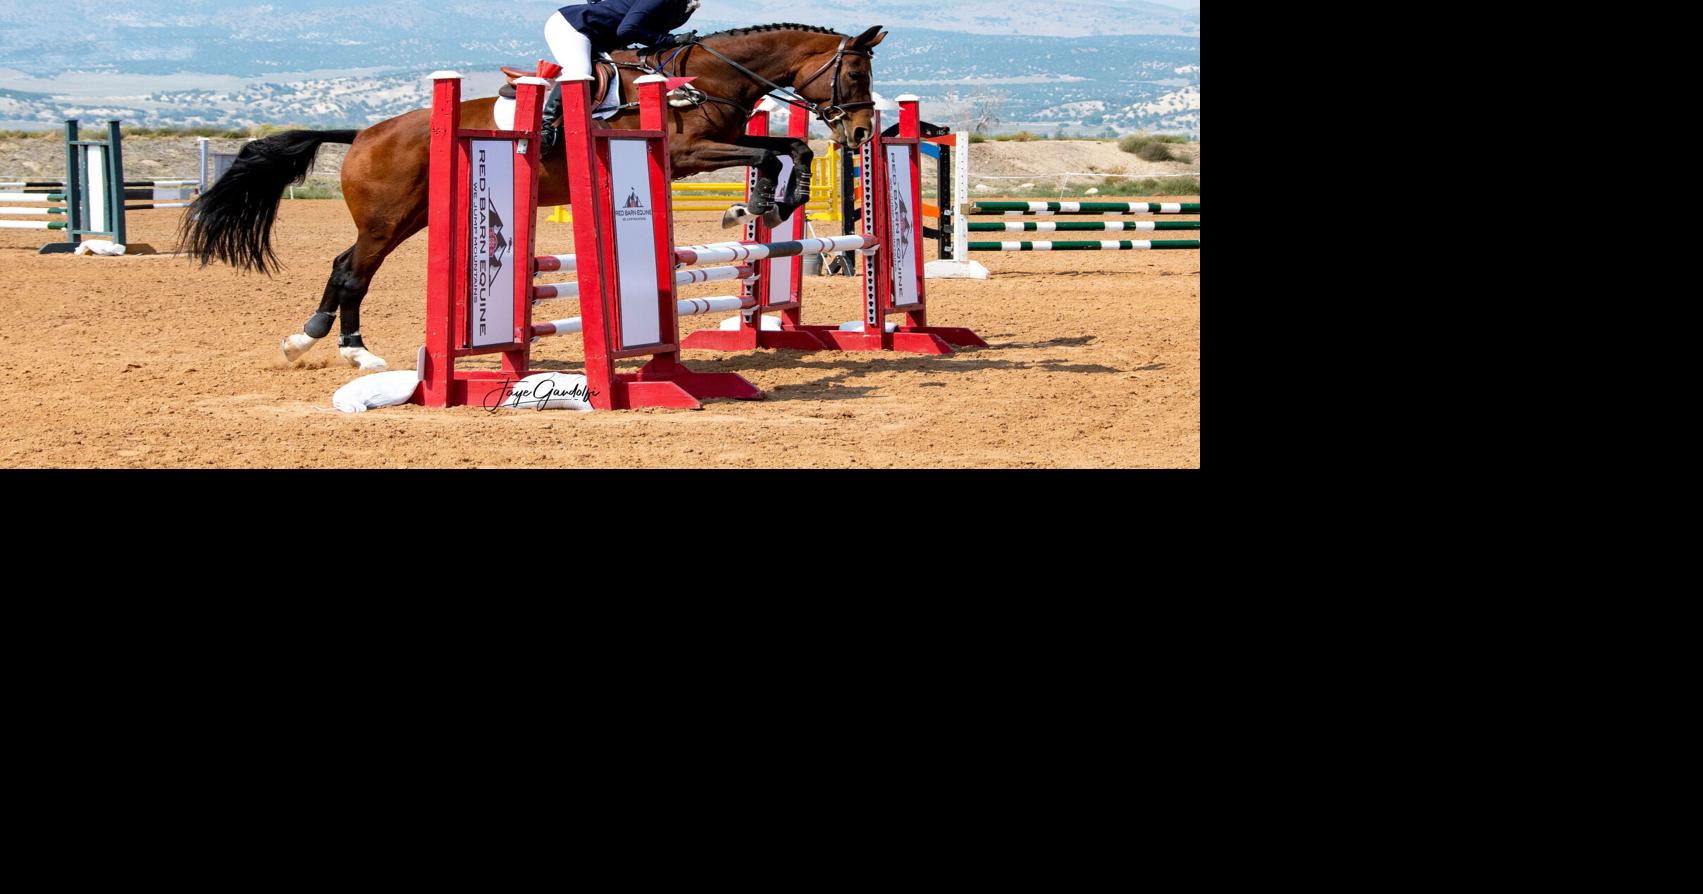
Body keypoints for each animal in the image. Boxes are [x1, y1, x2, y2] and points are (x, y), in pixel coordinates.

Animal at [177, 24, 886, 370]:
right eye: (854, 71)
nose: (858, 131)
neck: (705, 75)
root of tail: (367, 131)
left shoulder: (723, 140)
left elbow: (787, 149)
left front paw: (768, 203)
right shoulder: (686, 153)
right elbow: (770, 153)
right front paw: (758, 204)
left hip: (407, 219)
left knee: (345, 267)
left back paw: (333, 345)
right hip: (387, 219)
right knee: (353, 271)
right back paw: (328, 346)